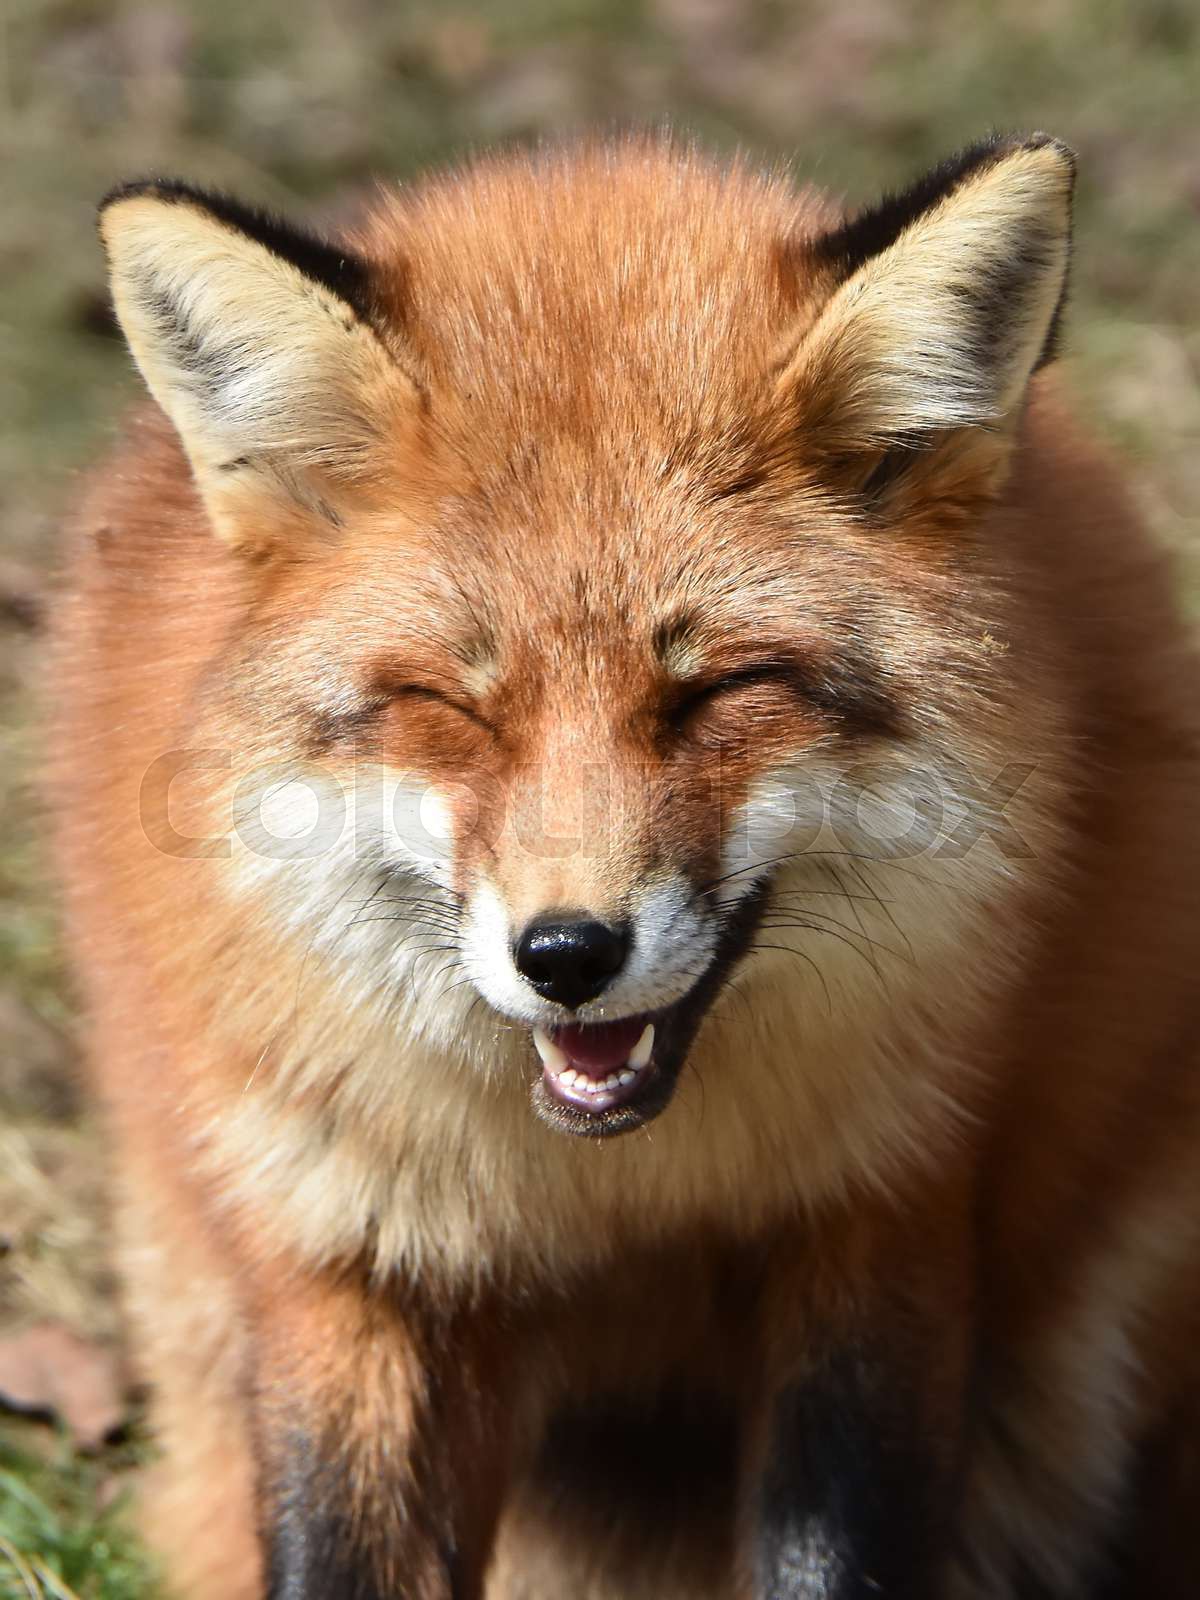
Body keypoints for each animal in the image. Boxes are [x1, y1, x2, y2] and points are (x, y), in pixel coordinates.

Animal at [48, 132, 1200, 1599]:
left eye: (717, 692)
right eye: (451, 705)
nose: (568, 955)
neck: (615, 1198)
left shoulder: (882, 1222)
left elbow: (836, 1552)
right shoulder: (347, 1258)